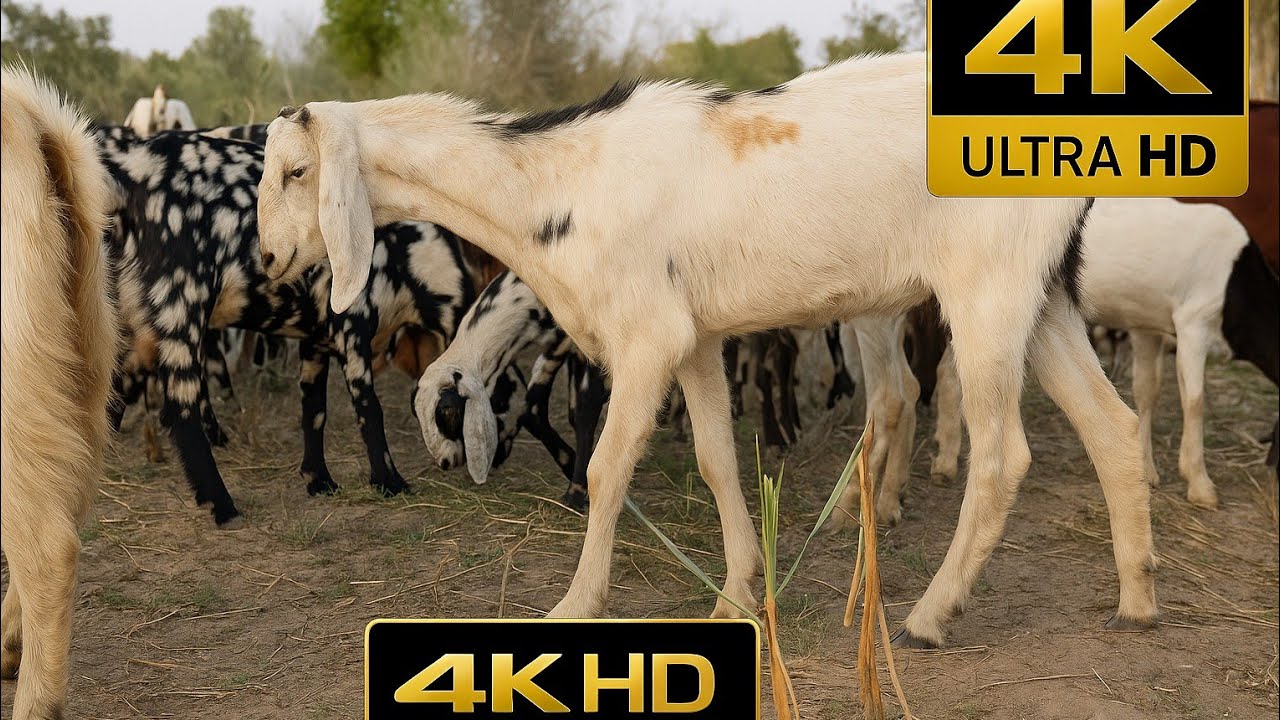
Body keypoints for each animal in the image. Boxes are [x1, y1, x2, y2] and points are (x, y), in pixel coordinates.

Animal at [255, 52, 1156, 647]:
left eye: (297, 171)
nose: (266, 258)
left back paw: (931, 615)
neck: (556, 183)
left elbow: (605, 469)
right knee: (1113, 427)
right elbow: (720, 462)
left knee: (1002, 455)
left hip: (987, 292)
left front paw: (576, 605)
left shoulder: (644, 336)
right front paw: (736, 597)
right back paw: (1138, 597)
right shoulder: (692, 340)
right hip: (1043, 293)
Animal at [932, 198, 1279, 506]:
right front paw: (1199, 483)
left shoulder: (1147, 328)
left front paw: (1147, 469)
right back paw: (946, 461)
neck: (1237, 279)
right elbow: (1194, 401)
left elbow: (1147, 391)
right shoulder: (1193, 322)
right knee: (950, 373)